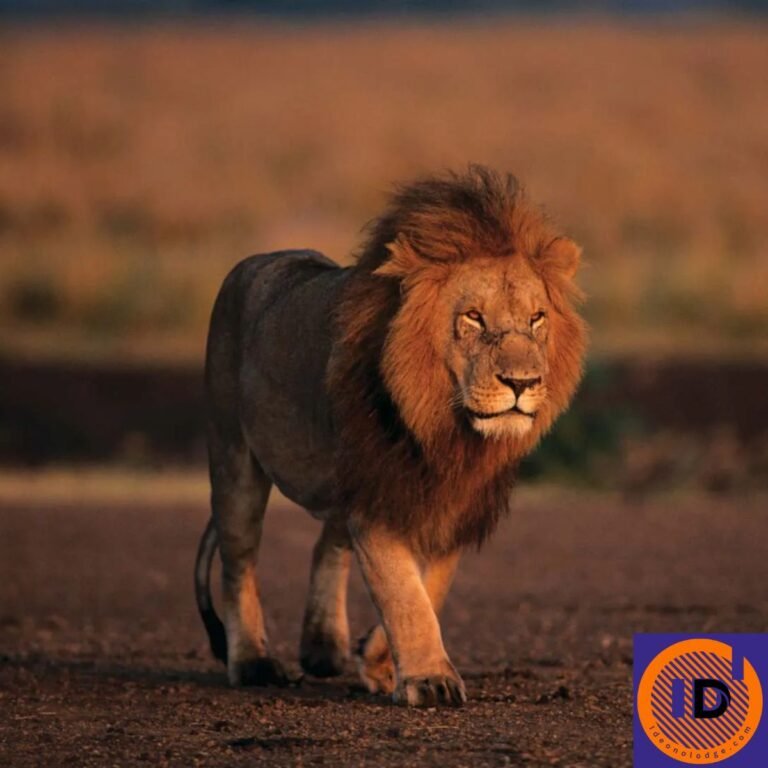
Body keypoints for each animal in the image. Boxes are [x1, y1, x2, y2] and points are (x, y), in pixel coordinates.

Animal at [194, 165, 586, 707]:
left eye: (537, 319)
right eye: (473, 317)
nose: (522, 383)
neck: (445, 429)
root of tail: (254, 262)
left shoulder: (450, 501)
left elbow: (429, 588)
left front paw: (378, 661)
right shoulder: (378, 491)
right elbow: (403, 592)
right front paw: (430, 679)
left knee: (326, 545)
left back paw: (324, 648)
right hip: (234, 457)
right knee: (239, 561)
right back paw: (253, 662)